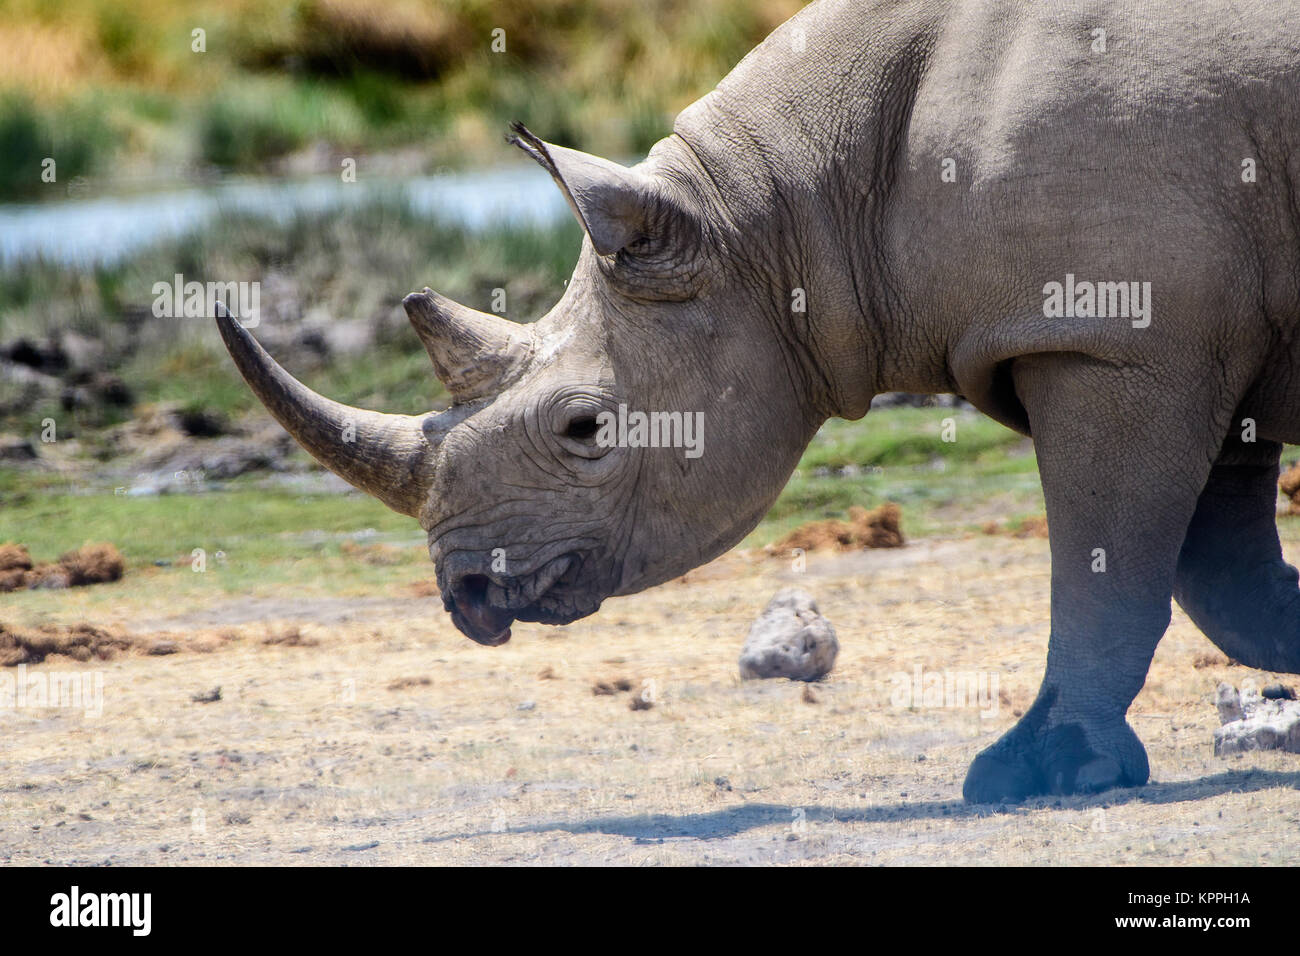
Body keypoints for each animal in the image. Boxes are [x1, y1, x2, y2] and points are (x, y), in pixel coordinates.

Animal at [215, 0, 1300, 803]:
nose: (467, 594)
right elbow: (1216, 573)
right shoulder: (1202, 340)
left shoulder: (1113, 341)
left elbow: (1104, 569)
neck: (787, 208)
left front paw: (1036, 774)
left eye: (585, 429)